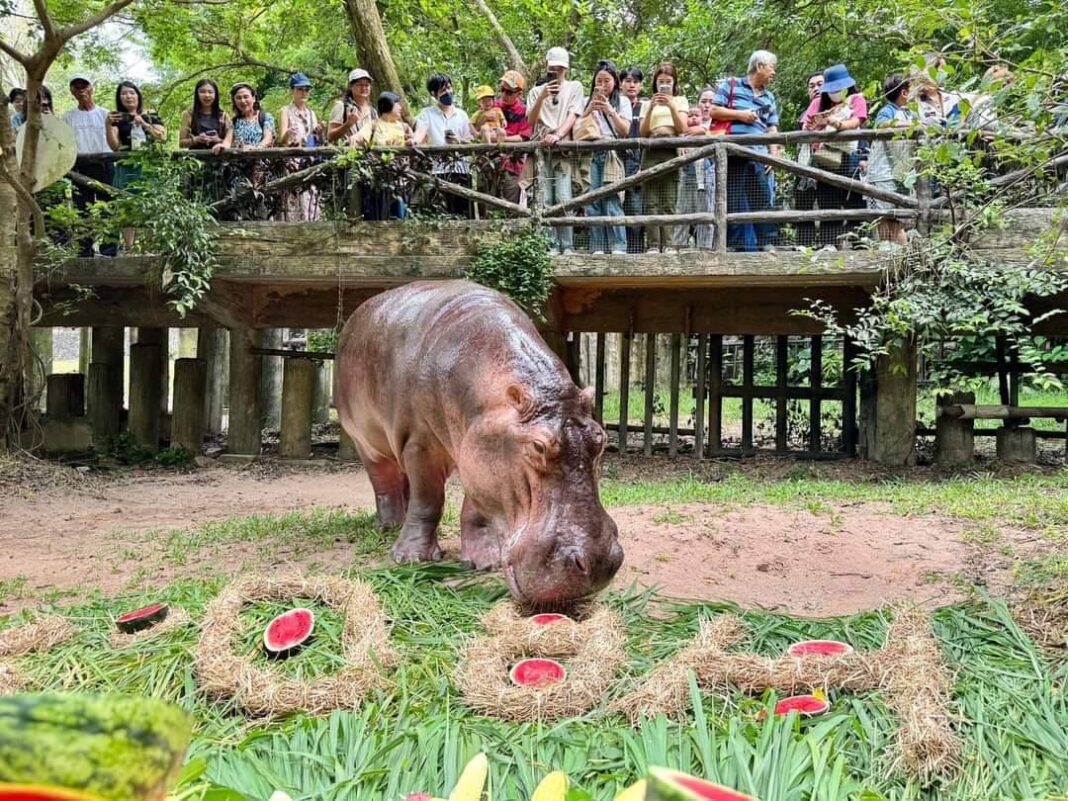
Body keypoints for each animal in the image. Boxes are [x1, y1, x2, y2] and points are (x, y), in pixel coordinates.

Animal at [334, 280, 623, 607]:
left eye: (601, 438)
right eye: (537, 447)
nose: (599, 563)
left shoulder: (479, 453)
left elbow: (475, 511)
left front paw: (486, 562)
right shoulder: (419, 443)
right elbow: (429, 500)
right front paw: (411, 560)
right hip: (365, 440)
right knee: (384, 480)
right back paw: (390, 525)